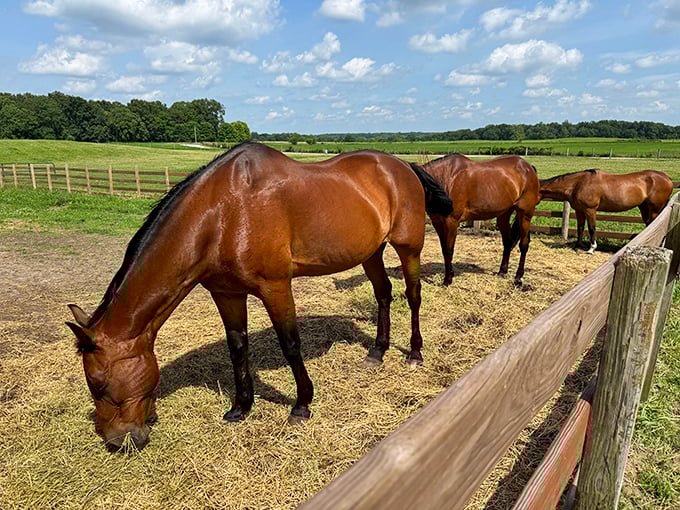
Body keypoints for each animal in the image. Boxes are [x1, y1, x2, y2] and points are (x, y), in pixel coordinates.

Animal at [65, 142, 453, 451]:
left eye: (98, 384)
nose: (117, 441)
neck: (223, 213)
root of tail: (401, 165)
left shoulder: (276, 286)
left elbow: (290, 344)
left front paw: (301, 405)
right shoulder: (226, 293)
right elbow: (237, 347)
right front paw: (240, 407)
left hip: (408, 246)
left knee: (412, 295)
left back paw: (414, 352)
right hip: (370, 252)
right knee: (383, 294)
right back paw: (377, 351)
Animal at [422, 153, 540, 286]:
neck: (445, 178)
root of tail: (528, 167)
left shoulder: (451, 222)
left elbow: (449, 250)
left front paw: (447, 280)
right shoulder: (437, 222)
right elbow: (444, 249)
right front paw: (450, 275)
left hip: (525, 214)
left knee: (524, 244)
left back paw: (518, 277)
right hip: (504, 215)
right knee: (507, 242)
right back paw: (502, 272)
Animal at [539, 169, 673, 253]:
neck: (578, 183)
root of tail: (666, 178)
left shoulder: (590, 210)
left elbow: (592, 229)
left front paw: (591, 248)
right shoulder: (579, 210)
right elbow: (580, 227)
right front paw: (578, 246)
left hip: (655, 209)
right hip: (644, 207)